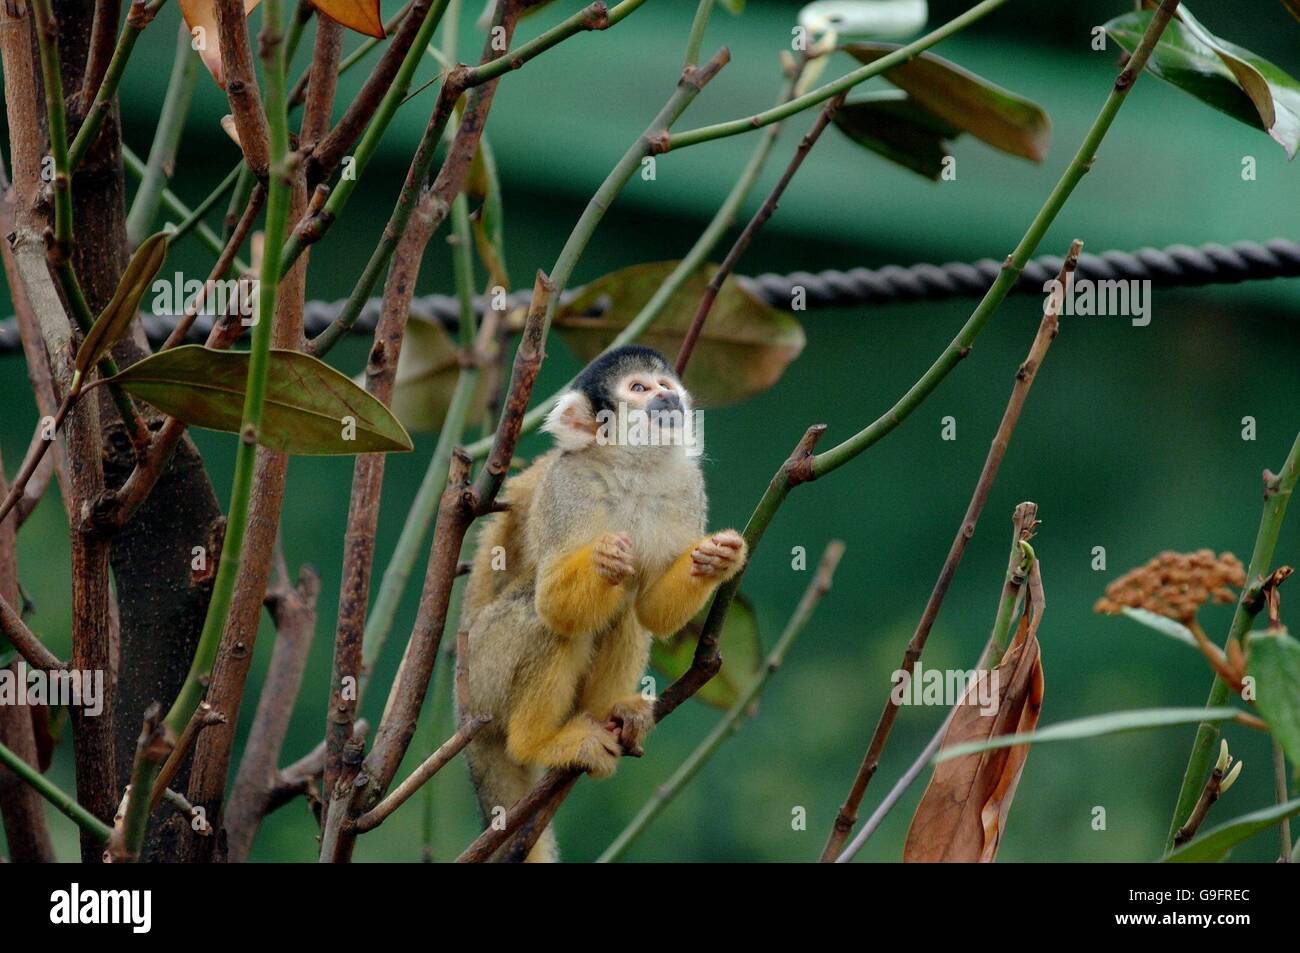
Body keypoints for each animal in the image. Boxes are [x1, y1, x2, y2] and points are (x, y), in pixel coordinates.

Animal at [456, 345, 747, 862]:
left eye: (664, 385)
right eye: (639, 388)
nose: (667, 398)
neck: (630, 470)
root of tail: (464, 717)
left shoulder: (686, 487)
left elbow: (653, 611)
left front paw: (717, 559)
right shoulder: (567, 487)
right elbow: (553, 603)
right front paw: (605, 560)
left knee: (626, 609)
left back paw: (612, 711)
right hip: (484, 672)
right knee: (545, 618)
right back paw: (536, 742)